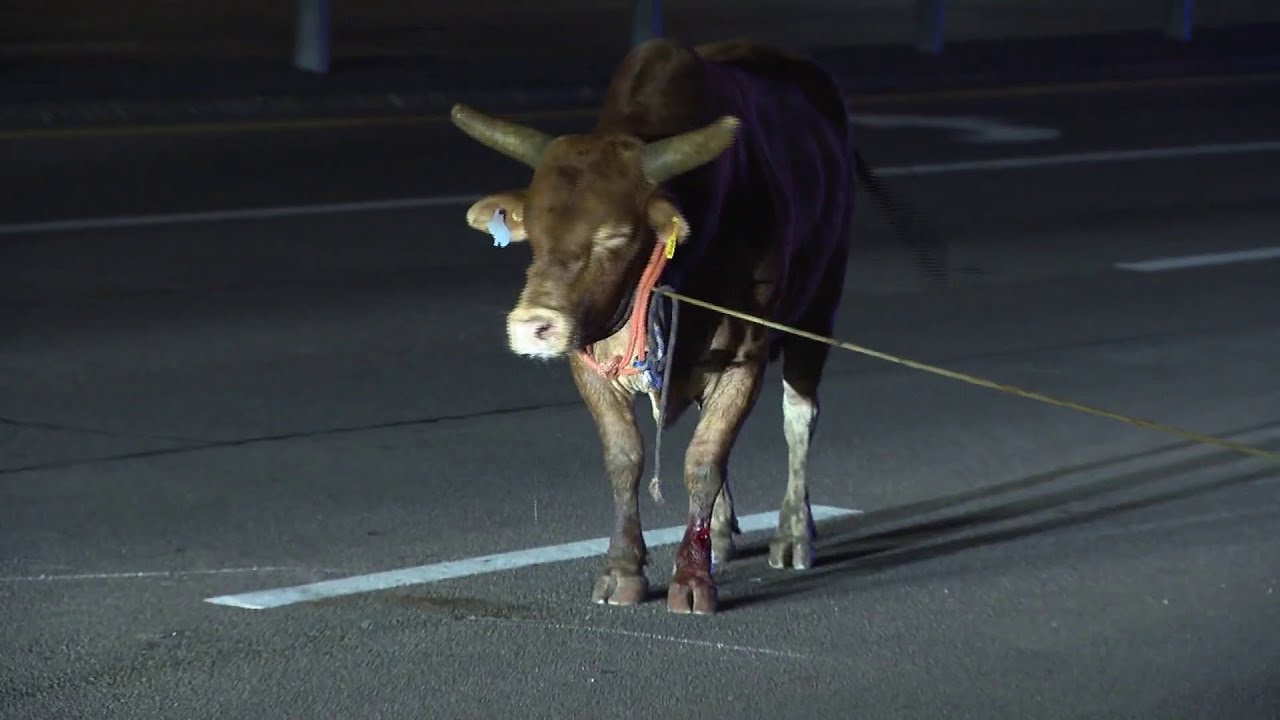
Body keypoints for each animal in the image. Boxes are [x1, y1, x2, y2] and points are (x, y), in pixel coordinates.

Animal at [450, 38, 936, 614]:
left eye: (615, 236)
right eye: (536, 234)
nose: (533, 325)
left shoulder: (746, 355)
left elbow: (704, 460)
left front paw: (692, 578)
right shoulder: (589, 362)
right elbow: (626, 457)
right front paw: (623, 569)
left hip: (819, 307)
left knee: (799, 418)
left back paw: (794, 532)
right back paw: (722, 533)